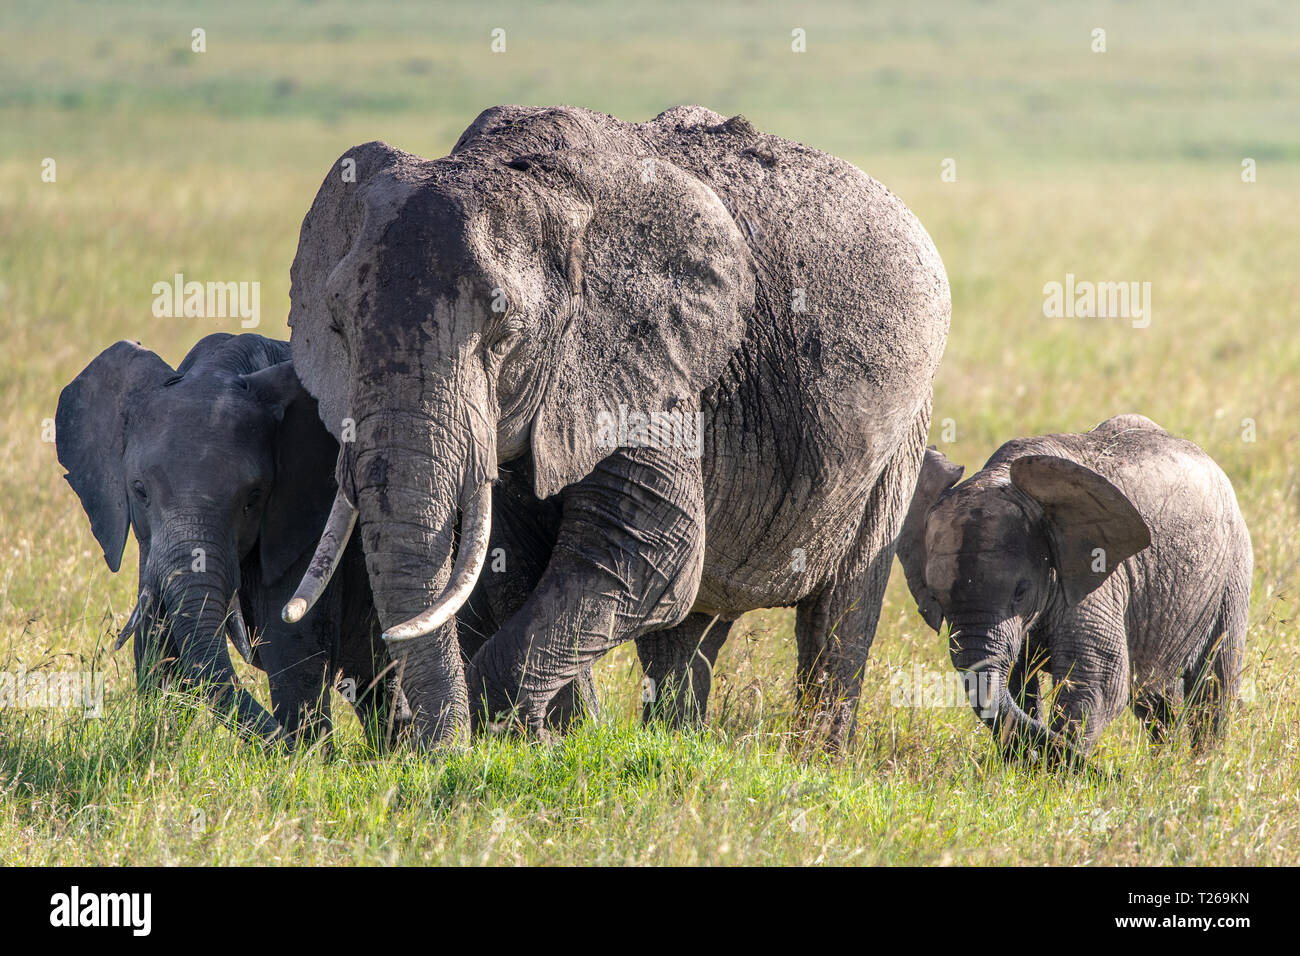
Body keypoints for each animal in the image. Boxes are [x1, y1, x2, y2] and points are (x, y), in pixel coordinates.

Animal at [57, 333, 401, 747]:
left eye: (253, 498)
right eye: (139, 491)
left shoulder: (305, 521)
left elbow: (292, 650)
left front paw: (306, 755)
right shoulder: (149, 544)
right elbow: (159, 644)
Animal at [283, 104, 951, 749]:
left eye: (505, 331)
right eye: (337, 327)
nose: (435, 754)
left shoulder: (651, 367)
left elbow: (646, 544)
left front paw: (520, 739)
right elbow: (516, 565)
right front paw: (559, 741)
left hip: (901, 431)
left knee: (838, 617)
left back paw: (813, 755)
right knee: (687, 636)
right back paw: (677, 745)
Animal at [896, 415, 1252, 764]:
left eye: (1020, 592)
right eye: (937, 598)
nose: (1110, 773)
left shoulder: (1094, 575)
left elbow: (1099, 677)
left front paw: (1057, 768)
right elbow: (1016, 680)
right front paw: (1024, 764)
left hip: (1232, 572)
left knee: (1214, 682)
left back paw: (1200, 767)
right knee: (1152, 693)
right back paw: (1164, 764)